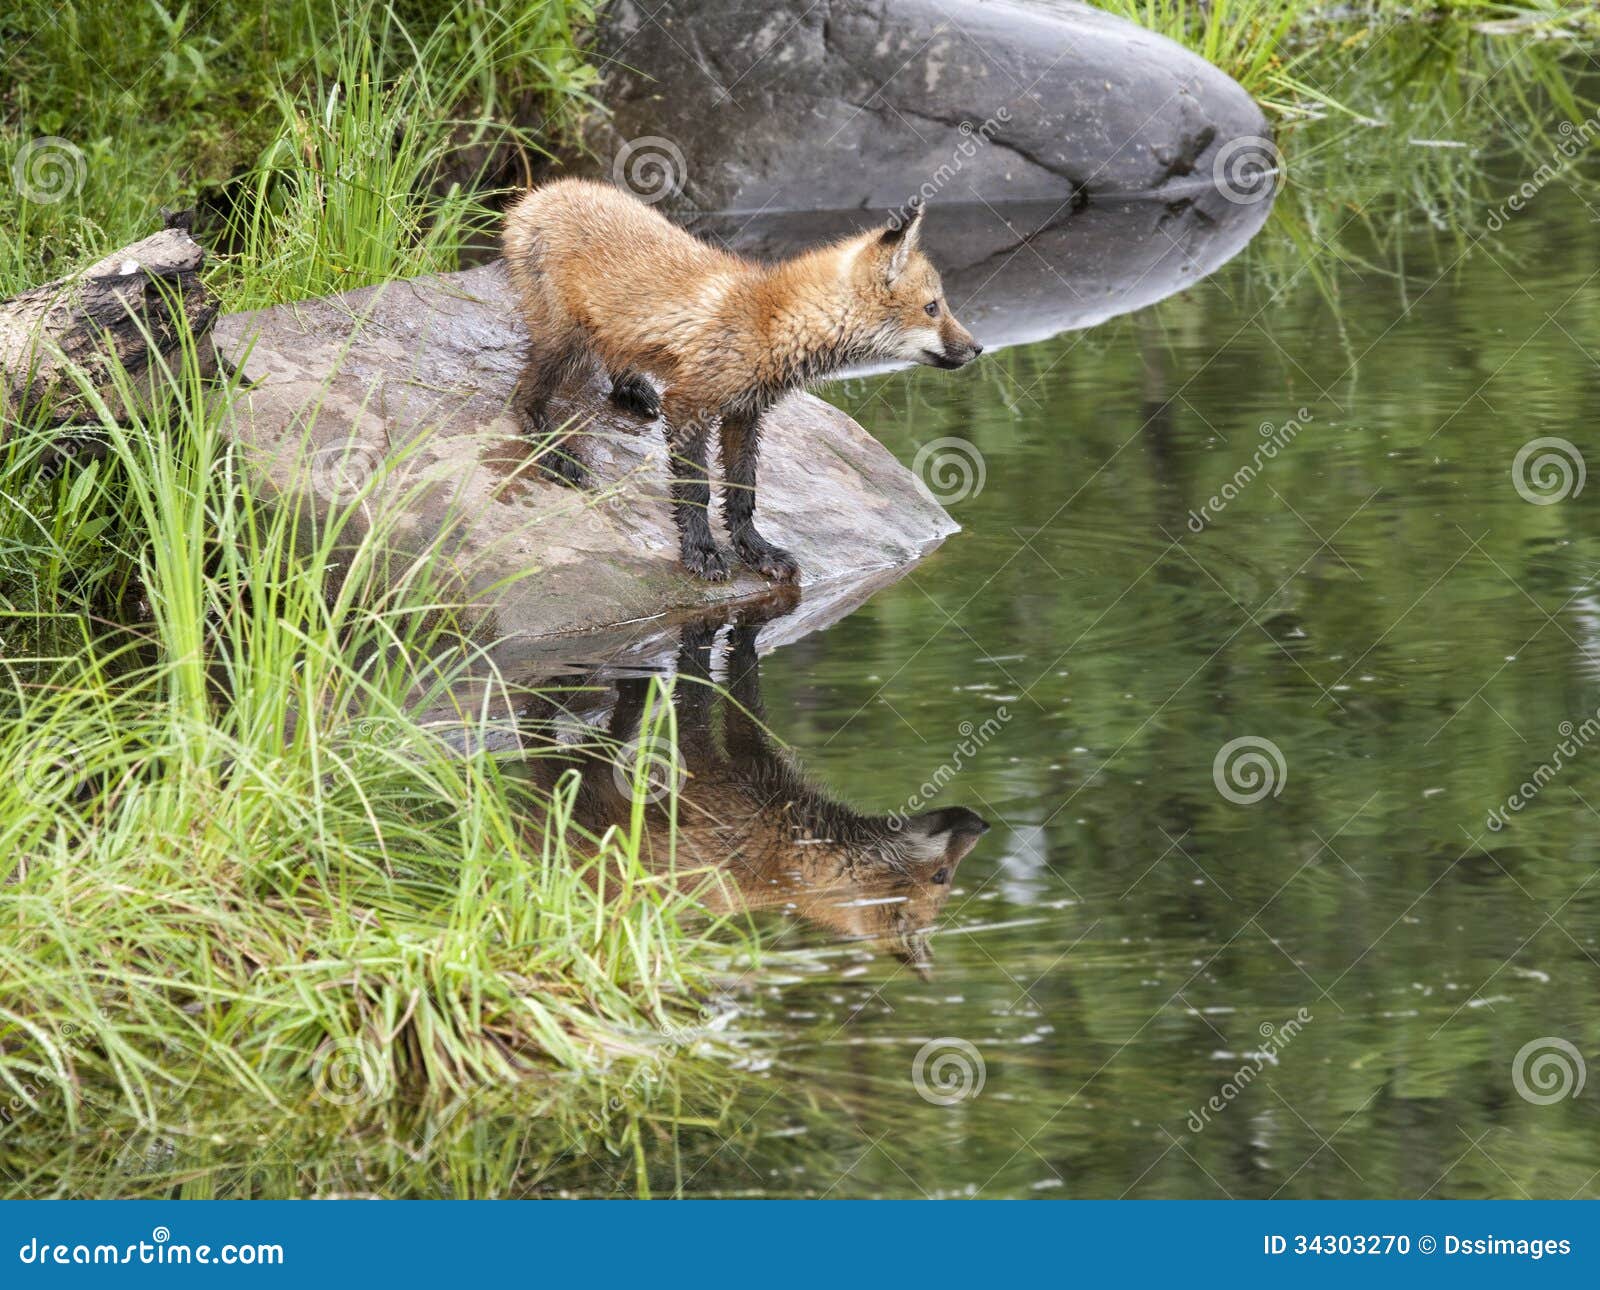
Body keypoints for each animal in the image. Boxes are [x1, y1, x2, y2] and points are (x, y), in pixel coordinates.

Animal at [501, 178, 983, 583]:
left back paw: (630, 387)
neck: (770, 323)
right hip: (564, 340)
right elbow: (696, 491)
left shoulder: (744, 412)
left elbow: (742, 492)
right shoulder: (689, 405)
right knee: (523, 398)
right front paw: (700, 551)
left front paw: (754, 549)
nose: (977, 348)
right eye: (933, 308)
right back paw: (554, 452)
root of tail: (545, 192)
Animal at [520, 606, 990, 975]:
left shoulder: (735, 762)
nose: (982, 825)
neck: (790, 842)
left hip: (592, 786)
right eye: (942, 876)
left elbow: (727, 687)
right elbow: (717, 680)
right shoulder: (720, 763)